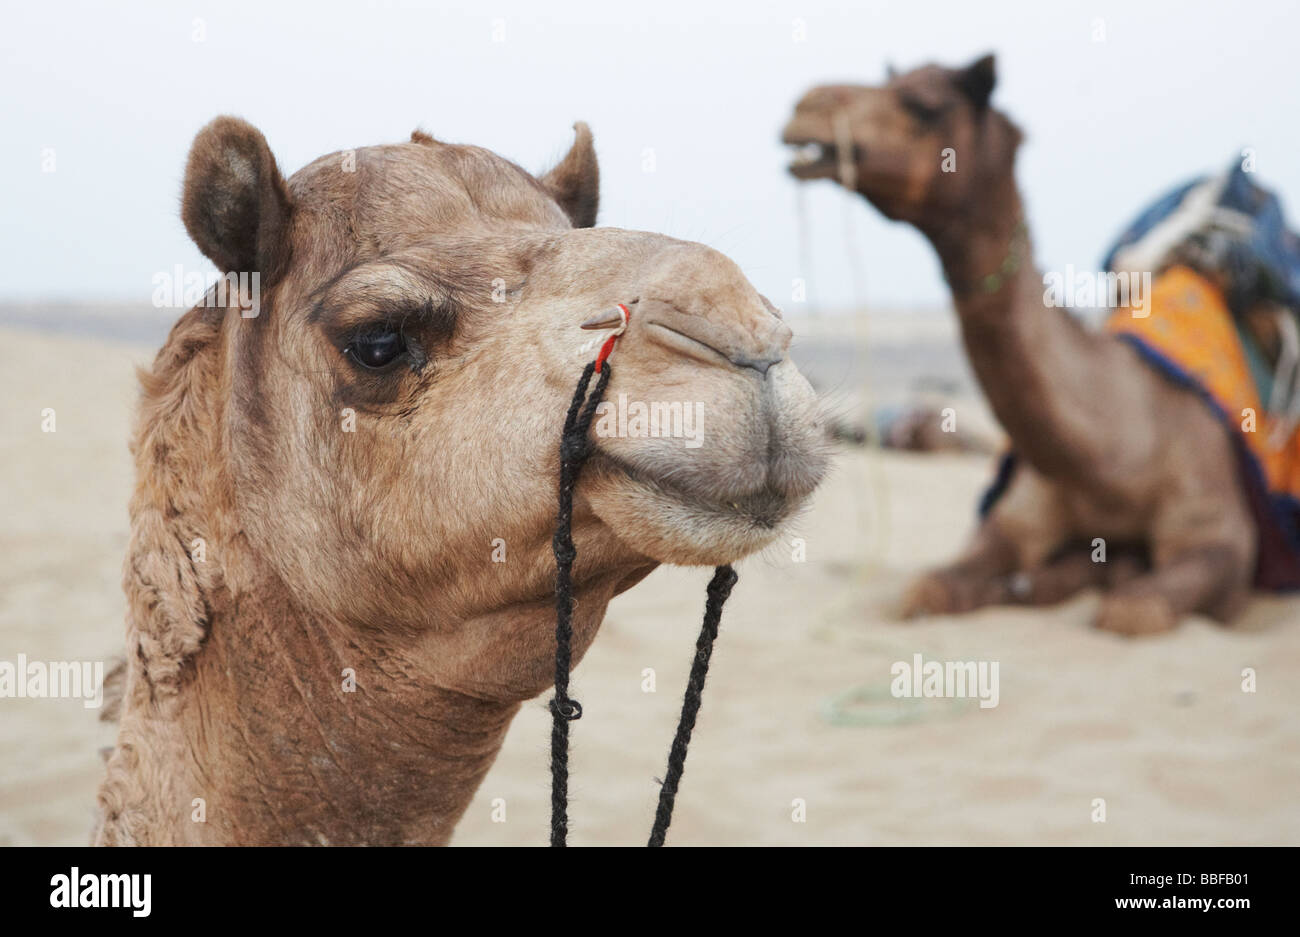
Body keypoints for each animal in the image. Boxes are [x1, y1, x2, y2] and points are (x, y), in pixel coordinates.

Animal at [782, 55, 1267, 635]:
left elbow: (1133, 609)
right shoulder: (1016, 516)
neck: (1116, 460)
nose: (806, 105)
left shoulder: (1222, 537)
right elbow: (927, 587)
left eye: (926, 104)